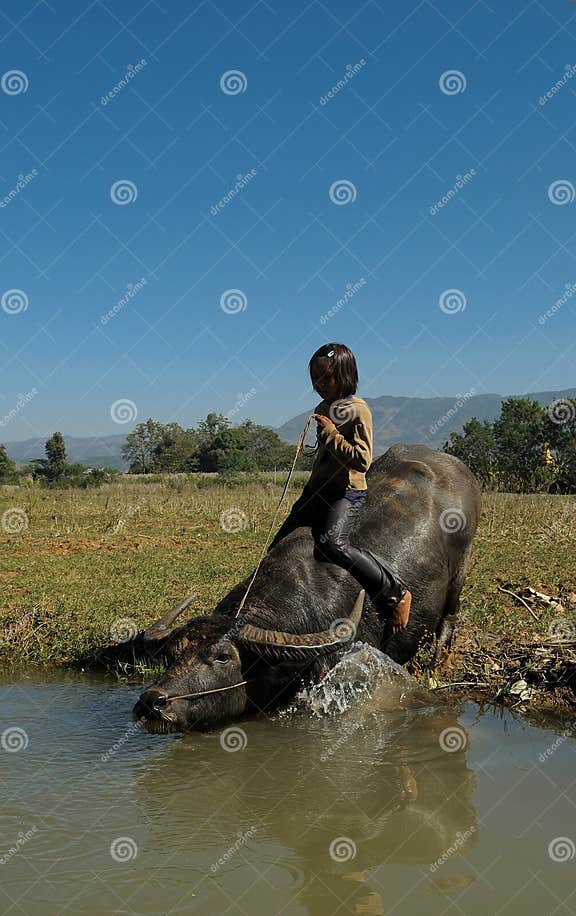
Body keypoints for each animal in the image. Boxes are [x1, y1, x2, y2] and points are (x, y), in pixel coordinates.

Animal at [124, 443, 481, 733]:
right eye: (173, 653)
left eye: (223, 656)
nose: (152, 701)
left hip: (460, 572)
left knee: (448, 619)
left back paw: (435, 666)